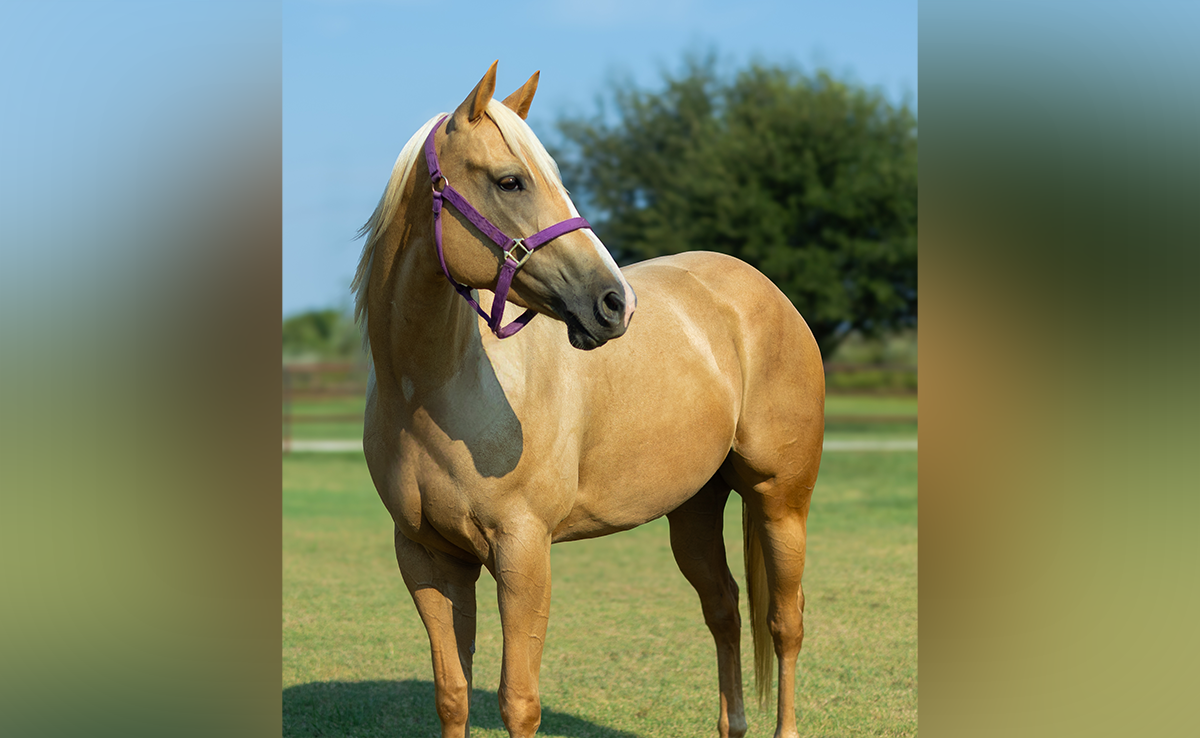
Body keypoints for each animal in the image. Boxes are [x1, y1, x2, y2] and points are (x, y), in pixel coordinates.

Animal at [354, 61, 825, 738]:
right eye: (510, 180)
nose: (615, 302)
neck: (434, 392)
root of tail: (764, 291)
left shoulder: (523, 553)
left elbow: (518, 701)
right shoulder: (428, 558)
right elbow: (453, 694)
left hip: (780, 502)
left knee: (785, 623)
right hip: (694, 509)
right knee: (725, 609)